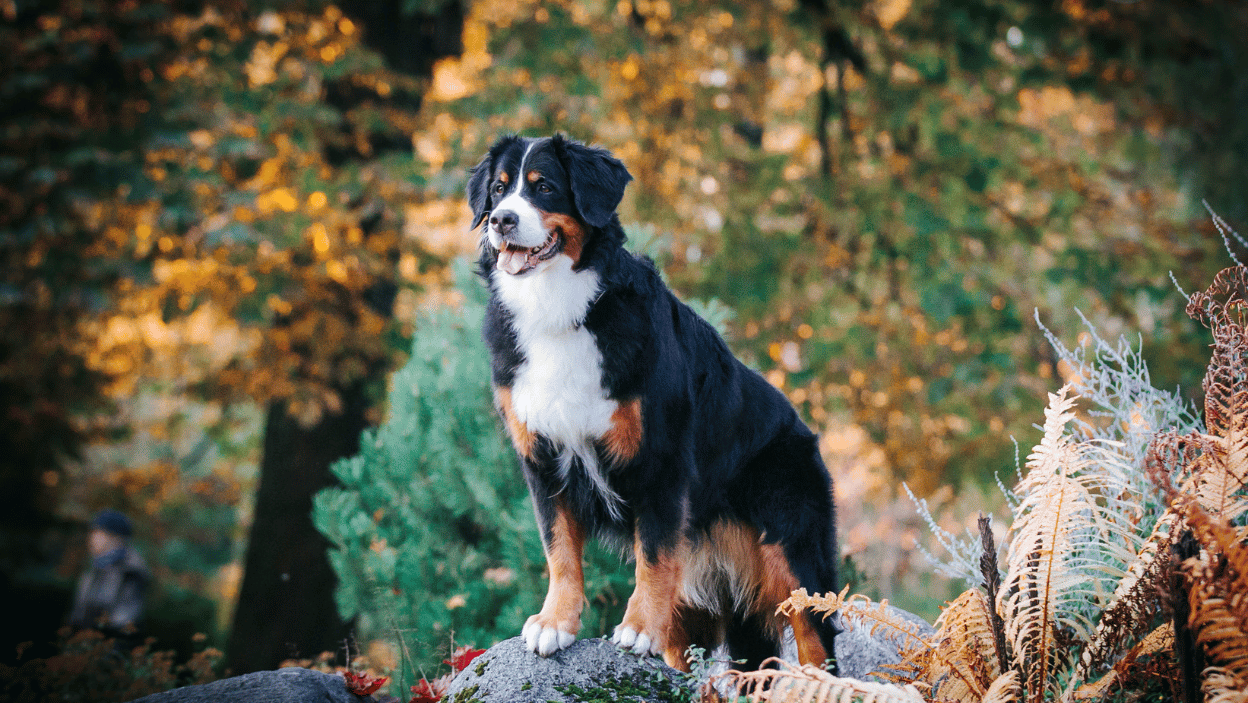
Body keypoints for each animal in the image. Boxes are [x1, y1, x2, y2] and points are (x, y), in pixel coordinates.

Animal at [469, 133, 838, 674]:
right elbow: (559, 550)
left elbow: (654, 554)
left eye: (545, 187)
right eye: (498, 190)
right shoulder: (543, 458)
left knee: (817, 644)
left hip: (793, 548)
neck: (560, 310)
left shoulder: (660, 459)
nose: (501, 220)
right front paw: (554, 622)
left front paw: (637, 626)